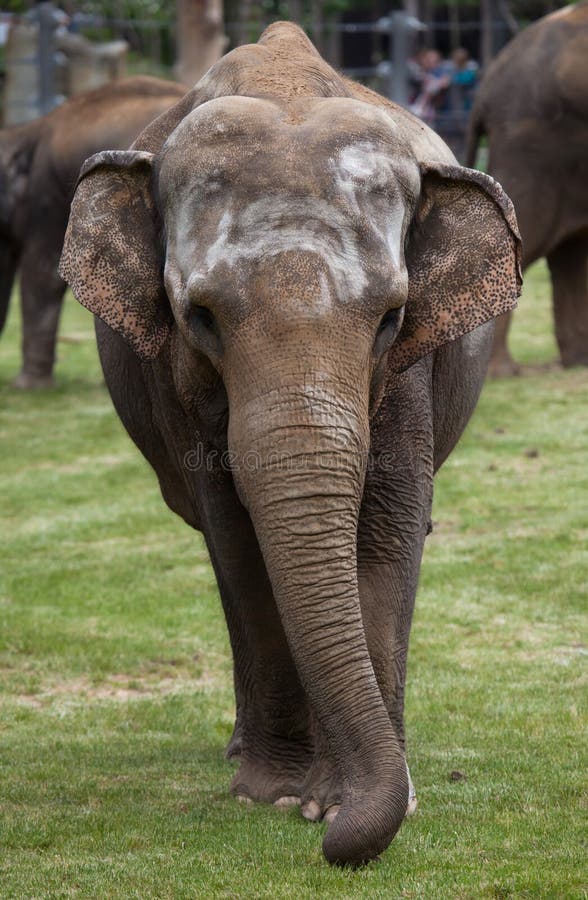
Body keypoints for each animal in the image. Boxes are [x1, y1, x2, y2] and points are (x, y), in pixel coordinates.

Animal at [60, 23, 521, 866]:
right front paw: (276, 797)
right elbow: (238, 541)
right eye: (199, 316)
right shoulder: (180, 384)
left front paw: (360, 801)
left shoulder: (408, 372)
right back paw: (246, 755)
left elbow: (388, 530)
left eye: (391, 317)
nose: (336, 845)